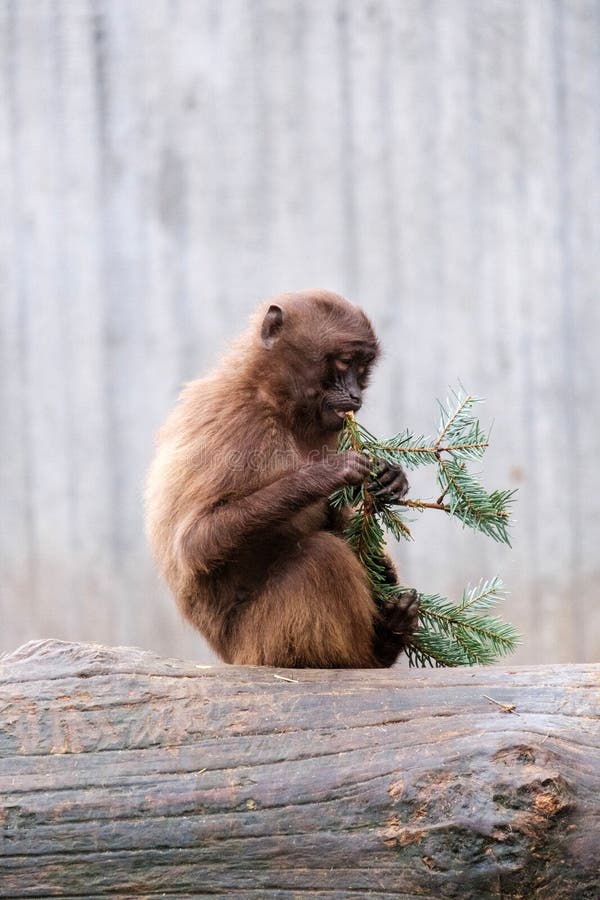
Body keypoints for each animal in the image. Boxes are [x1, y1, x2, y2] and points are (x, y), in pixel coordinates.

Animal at [145, 289, 419, 668]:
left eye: (363, 368)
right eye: (345, 362)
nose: (355, 396)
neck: (274, 399)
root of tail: (229, 655)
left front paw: (389, 477)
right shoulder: (237, 426)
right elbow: (193, 544)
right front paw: (324, 474)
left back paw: (391, 629)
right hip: (257, 646)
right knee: (321, 556)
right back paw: (367, 656)